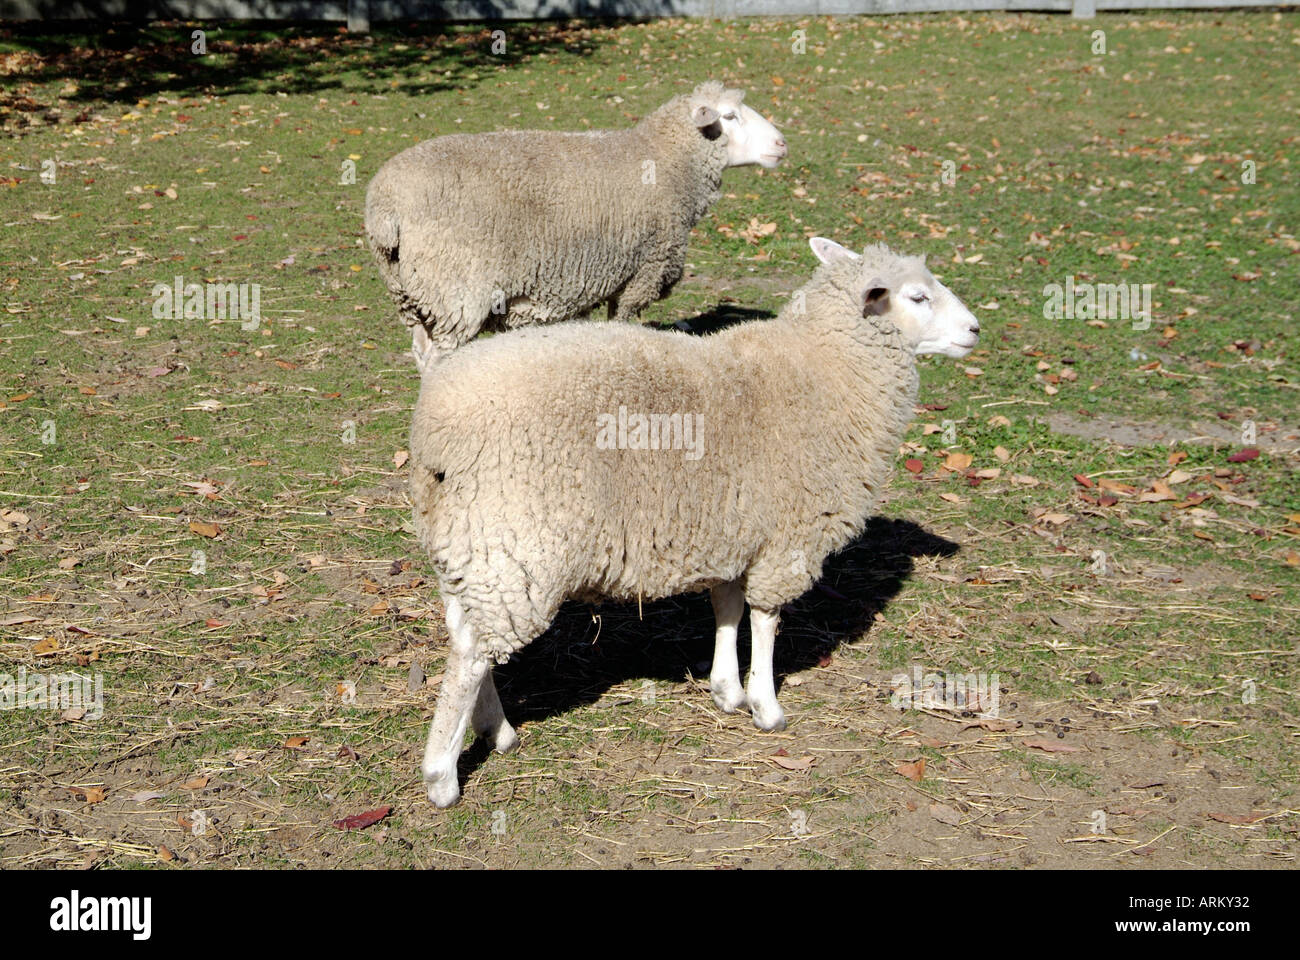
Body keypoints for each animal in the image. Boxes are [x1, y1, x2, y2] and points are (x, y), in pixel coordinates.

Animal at [364, 81, 787, 372]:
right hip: (455, 288)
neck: (667, 162)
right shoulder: (640, 272)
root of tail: (385, 206)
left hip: (414, 291)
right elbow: (622, 322)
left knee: (421, 352)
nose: (782, 144)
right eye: (729, 116)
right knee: (440, 357)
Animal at [408, 238, 981, 806]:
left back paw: (497, 731)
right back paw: (442, 776)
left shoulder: (731, 531)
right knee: (471, 656)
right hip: (516, 544)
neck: (825, 369)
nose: (976, 329)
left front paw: (727, 689)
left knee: (465, 635)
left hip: (469, 543)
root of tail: (437, 425)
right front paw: (766, 706)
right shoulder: (786, 539)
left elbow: (726, 606)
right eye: (918, 297)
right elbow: (765, 620)